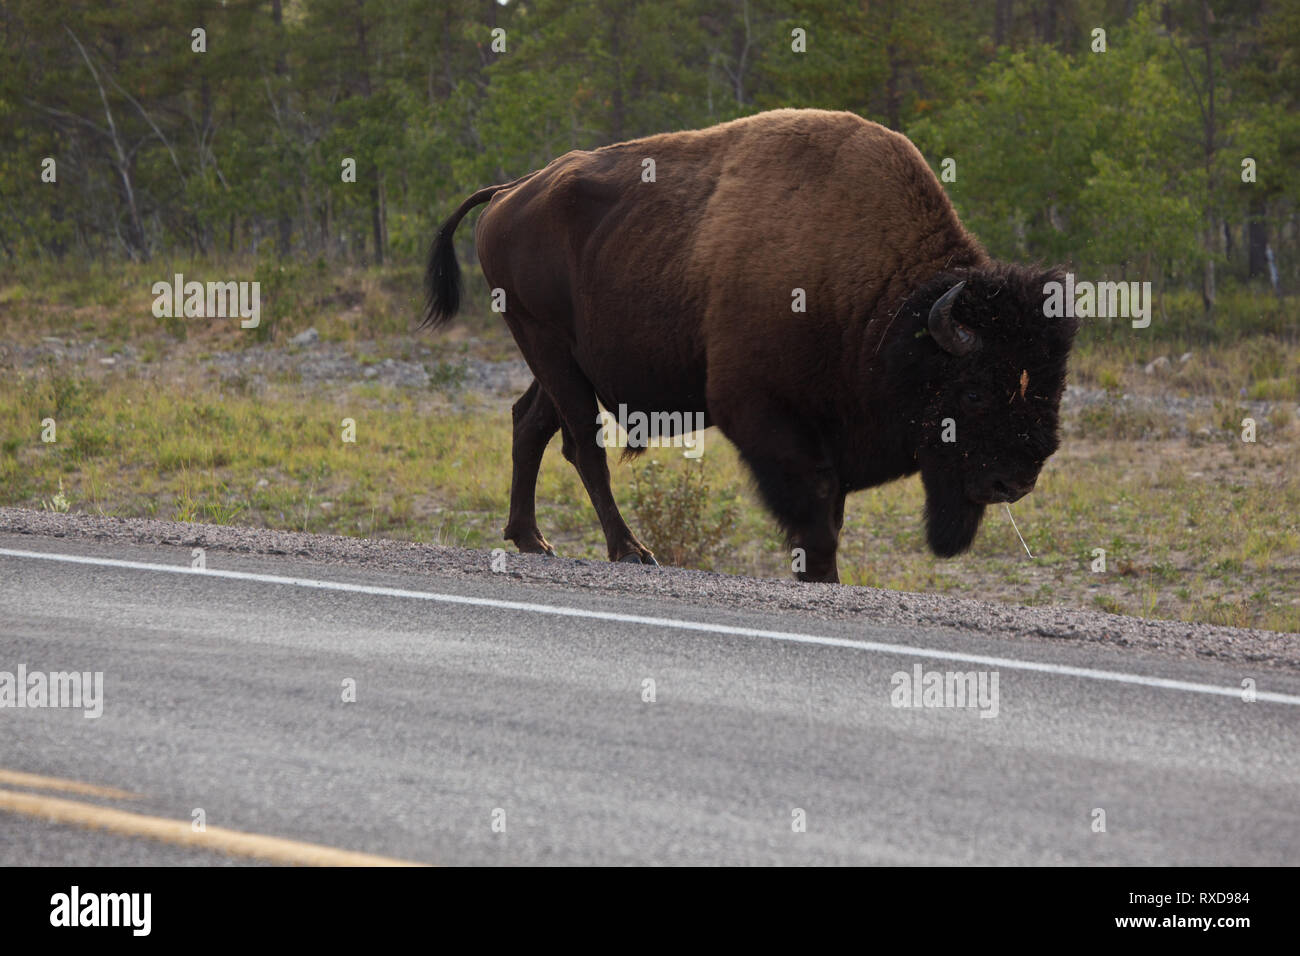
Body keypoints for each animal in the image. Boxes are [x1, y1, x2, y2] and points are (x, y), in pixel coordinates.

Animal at [423, 108, 1076, 583]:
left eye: (1052, 386)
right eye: (973, 392)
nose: (1015, 482)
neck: (885, 305)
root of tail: (510, 191)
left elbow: (830, 508)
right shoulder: (766, 417)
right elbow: (816, 512)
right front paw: (821, 576)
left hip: (558, 359)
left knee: (529, 422)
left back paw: (532, 539)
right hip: (547, 345)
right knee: (582, 444)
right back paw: (630, 550)